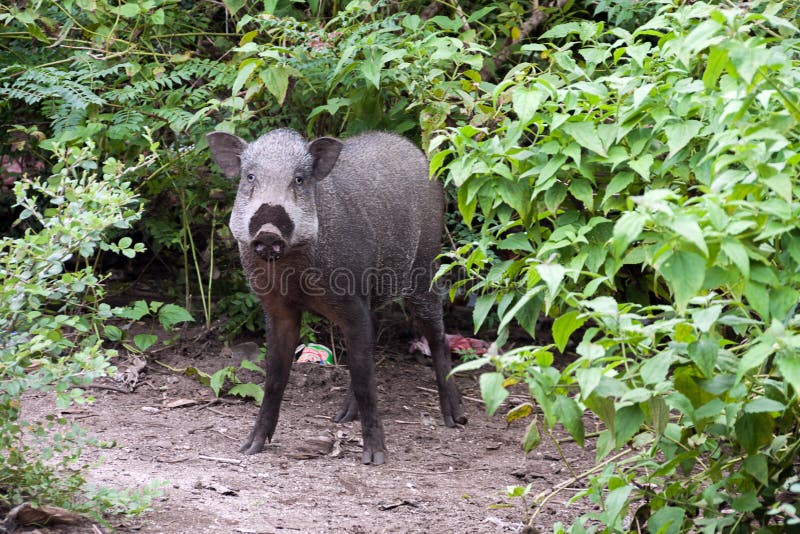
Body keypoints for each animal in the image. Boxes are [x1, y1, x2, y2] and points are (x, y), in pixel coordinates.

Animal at [206, 128, 466, 465]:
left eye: (299, 179)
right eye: (250, 177)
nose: (268, 232)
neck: (295, 272)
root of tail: (417, 153)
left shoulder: (351, 301)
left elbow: (365, 379)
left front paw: (375, 459)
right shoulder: (277, 308)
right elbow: (275, 377)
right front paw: (249, 447)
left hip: (425, 265)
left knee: (436, 335)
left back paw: (456, 419)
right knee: (376, 336)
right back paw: (342, 417)